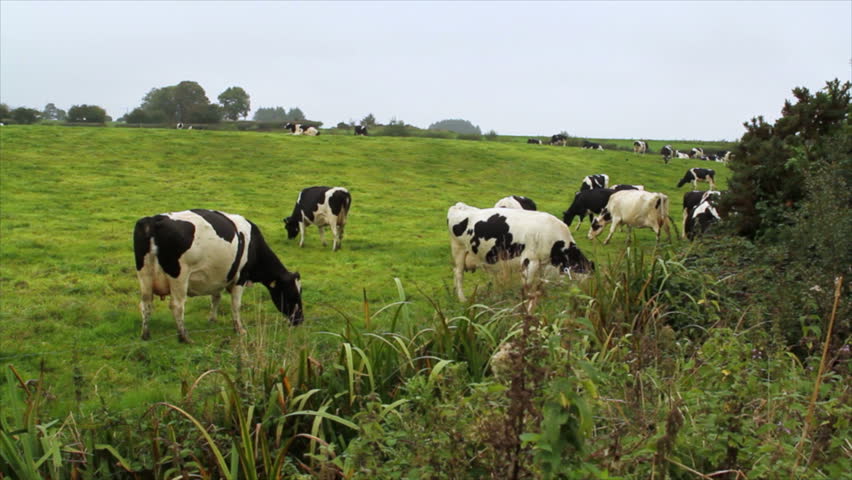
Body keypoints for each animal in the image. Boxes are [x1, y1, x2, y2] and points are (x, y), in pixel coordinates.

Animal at [134, 209, 304, 343]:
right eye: (293, 294)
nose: (300, 320)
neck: (252, 244)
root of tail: (154, 220)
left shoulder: (217, 277)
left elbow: (216, 298)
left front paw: (212, 319)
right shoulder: (240, 278)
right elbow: (235, 305)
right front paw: (239, 329)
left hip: (144, 274)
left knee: (146, 304)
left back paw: (145, 334)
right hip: (179, 276)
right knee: (177, 305)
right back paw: (184, 337)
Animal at [447, 203, 594, 302]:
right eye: (584, 273)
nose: (589, 293)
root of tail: (459, 206)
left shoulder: (543, 264)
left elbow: (541, 282)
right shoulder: (530, 260)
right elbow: (527, 283)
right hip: (458, 249)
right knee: (458, 274)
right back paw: (462, 299)